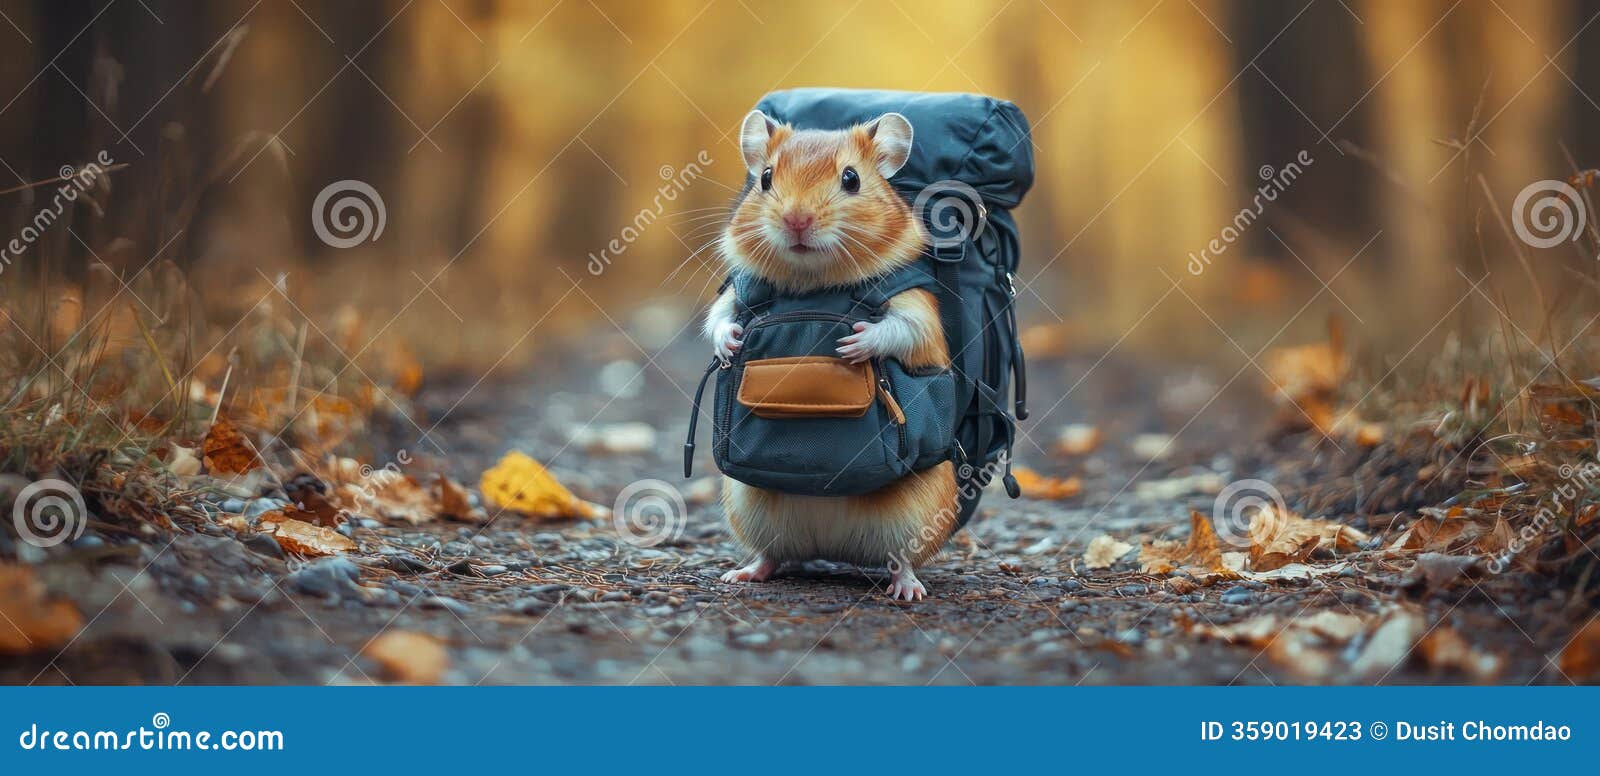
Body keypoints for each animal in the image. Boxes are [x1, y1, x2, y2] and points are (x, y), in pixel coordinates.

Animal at [703, 109, 957, 601]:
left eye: (851, 178)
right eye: (766, 178)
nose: (796, 219)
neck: (813, 283)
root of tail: (834, 550)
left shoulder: (918, 309)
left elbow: (902, 331)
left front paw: (855, 344)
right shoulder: (735, 292)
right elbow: (719, 319)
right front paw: (731, 344)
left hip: (920, 513)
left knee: (902, 560)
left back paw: (907, 590)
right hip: (746, 505)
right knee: (772, 554)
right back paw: (742, 574)